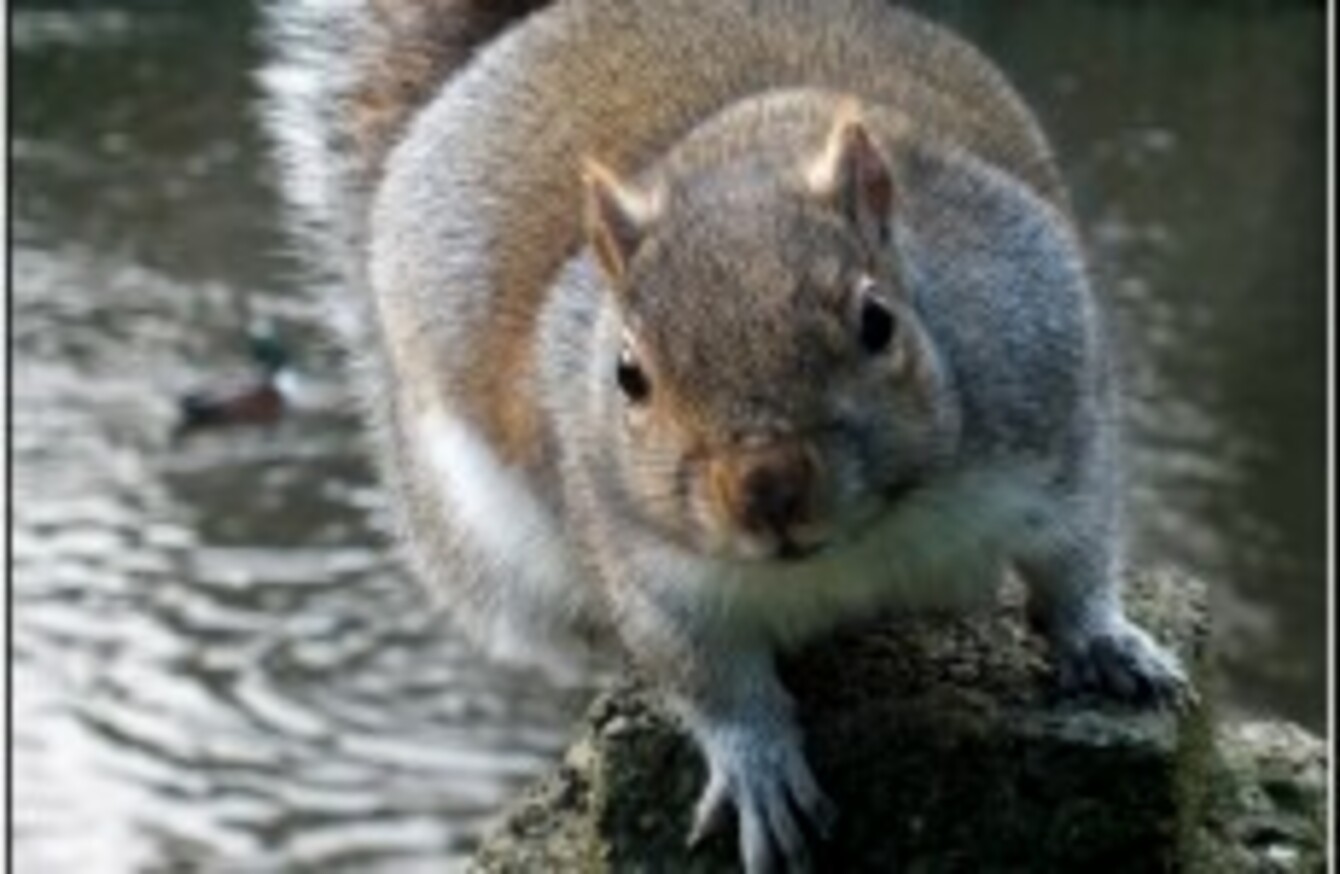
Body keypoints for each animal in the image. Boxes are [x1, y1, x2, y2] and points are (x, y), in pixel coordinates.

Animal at [265, 1, 1191, 871]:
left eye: (877, 322)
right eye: (628, 375)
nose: (767, 488)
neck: (863, 542)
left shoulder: (1058, 422)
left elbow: (1075, 560)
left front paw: (1107, 646)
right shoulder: (650, 570)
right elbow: (706, 674)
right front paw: (757, 766)